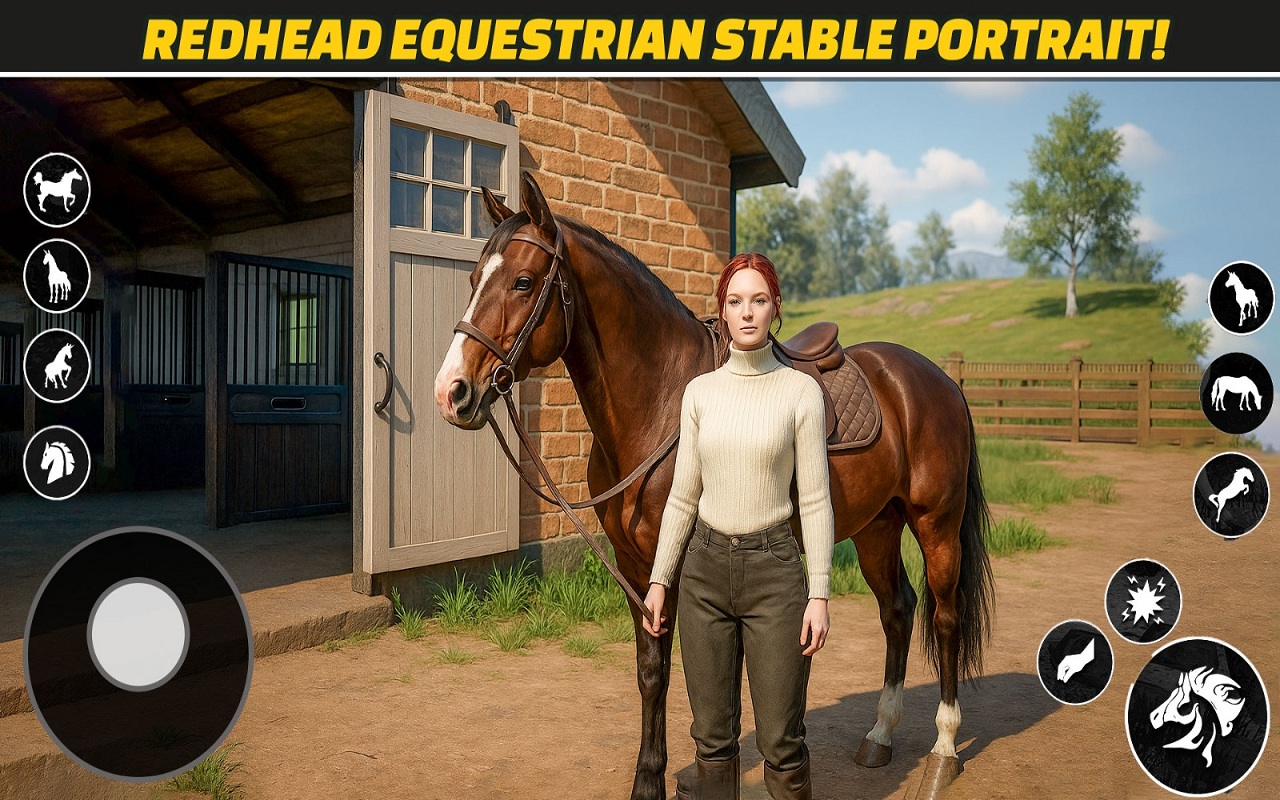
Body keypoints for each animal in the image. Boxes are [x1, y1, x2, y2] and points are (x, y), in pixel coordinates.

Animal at [433, 172, 994, 800]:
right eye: (474, 280)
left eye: (524, 281)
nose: (452, 390)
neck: (661, 403)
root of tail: (938, 379)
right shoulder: (637, 567)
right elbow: (651, 670)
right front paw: (653, 780)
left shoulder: (675, 561)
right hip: (876, 527)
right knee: (897, 610)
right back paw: (879, 738)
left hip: (936, 524)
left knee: (943, 618)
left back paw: (943, 752)